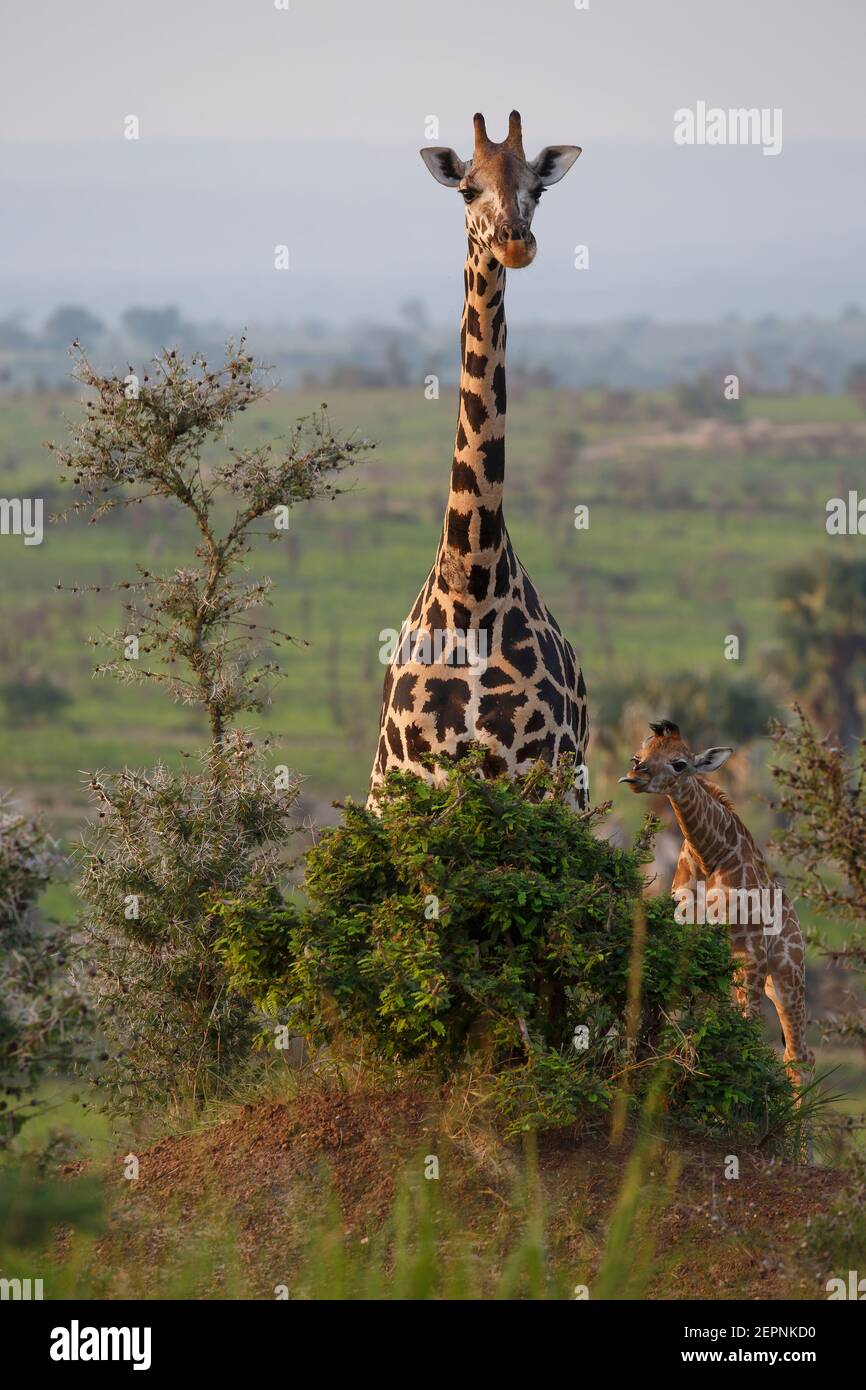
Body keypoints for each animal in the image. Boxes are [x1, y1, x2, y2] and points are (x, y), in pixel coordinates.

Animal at [369, 111, 588, 806]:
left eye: (537, 189)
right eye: (468, 190)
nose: (516, 243)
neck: (473, 586)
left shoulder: (537, 783)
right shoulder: (401, 787)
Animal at [619, 720, 813, 1085]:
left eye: (680, 764)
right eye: (638, 756)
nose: (634, 776)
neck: (710, 854)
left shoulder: (749, 951)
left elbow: (748, 1032)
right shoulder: (689, 934)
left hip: (787, 972)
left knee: (799, 1055)